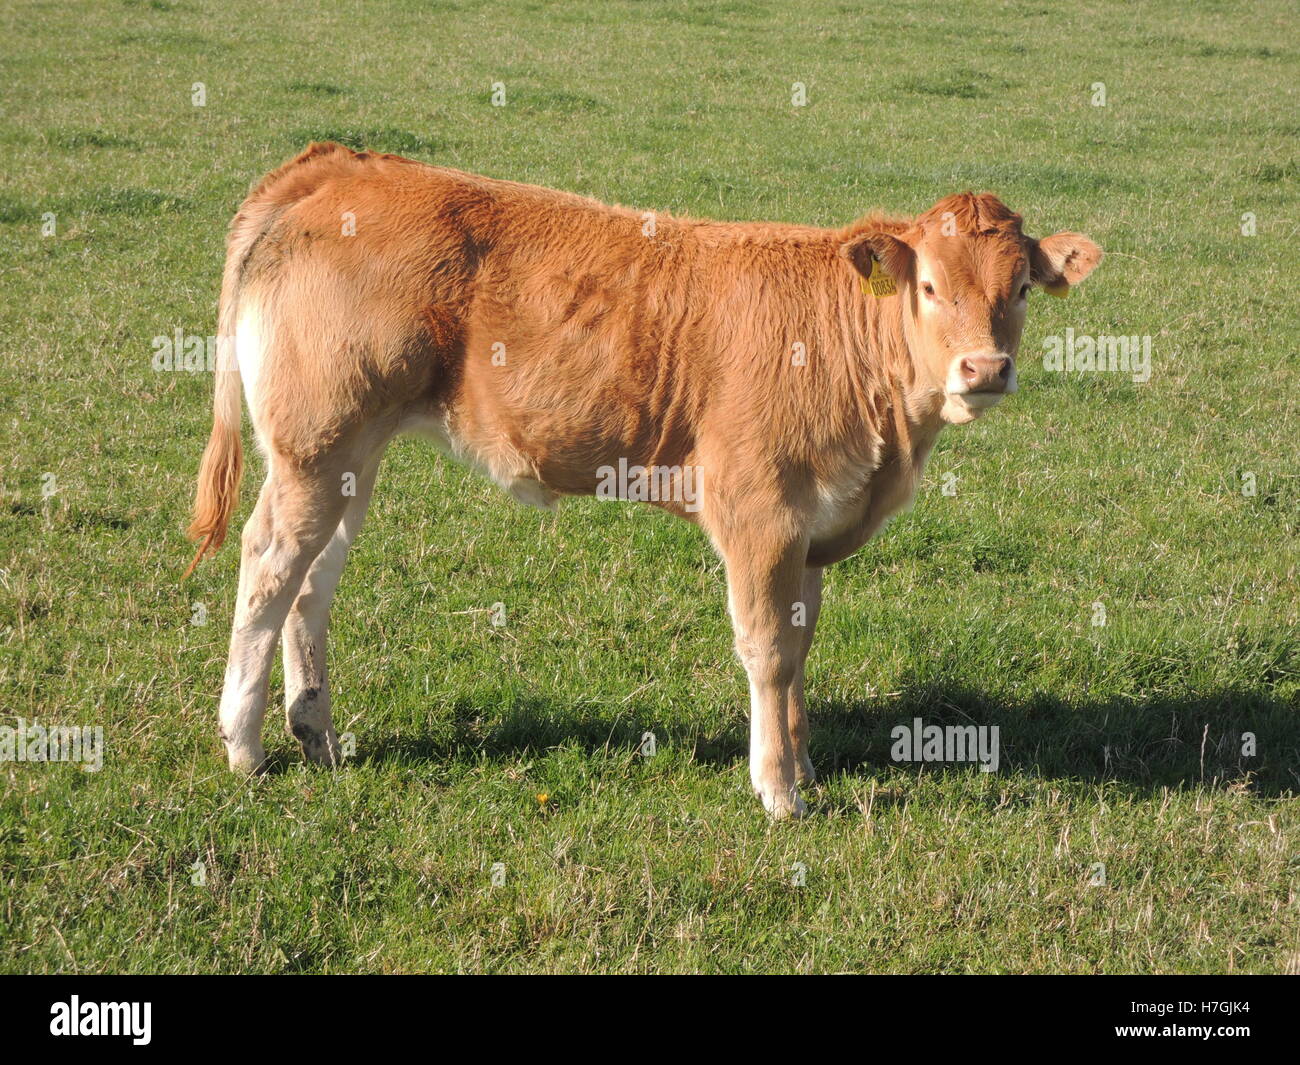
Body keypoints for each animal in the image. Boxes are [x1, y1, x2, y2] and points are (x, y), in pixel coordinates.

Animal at [186, 142, 1101, 818]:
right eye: (930, 285)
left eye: (1022, 287)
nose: (985, 368)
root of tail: (344, 164)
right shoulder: (761, 511)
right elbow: (768, 649)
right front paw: (778, 789)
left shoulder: (811, 526)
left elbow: (801, 645)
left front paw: (802, 761)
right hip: (317, 441)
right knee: (269, 562)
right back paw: (243, 745)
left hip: (350, 452)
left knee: (314, 579)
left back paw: (316, 734)